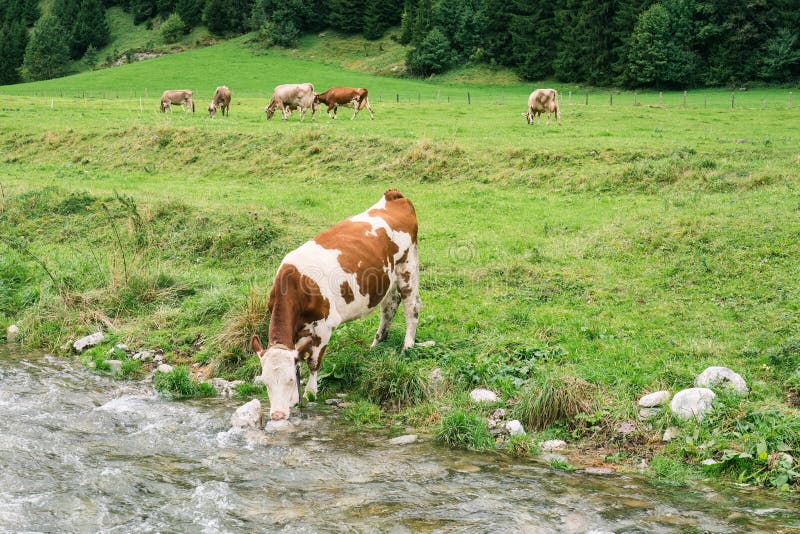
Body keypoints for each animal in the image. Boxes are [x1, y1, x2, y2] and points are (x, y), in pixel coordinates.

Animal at [250, 189, 420, 421]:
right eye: (266, 383)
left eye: (289, 381)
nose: (277, 415)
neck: (295, 283)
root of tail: (393, 196)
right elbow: (298, 361)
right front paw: (295, 399)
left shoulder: (324, 326)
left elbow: (313, 362)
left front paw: (310, 393)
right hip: (387, 278)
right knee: (389, 306)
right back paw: (376, 345)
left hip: (408, 267)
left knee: (412, 307)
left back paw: (407, 346)